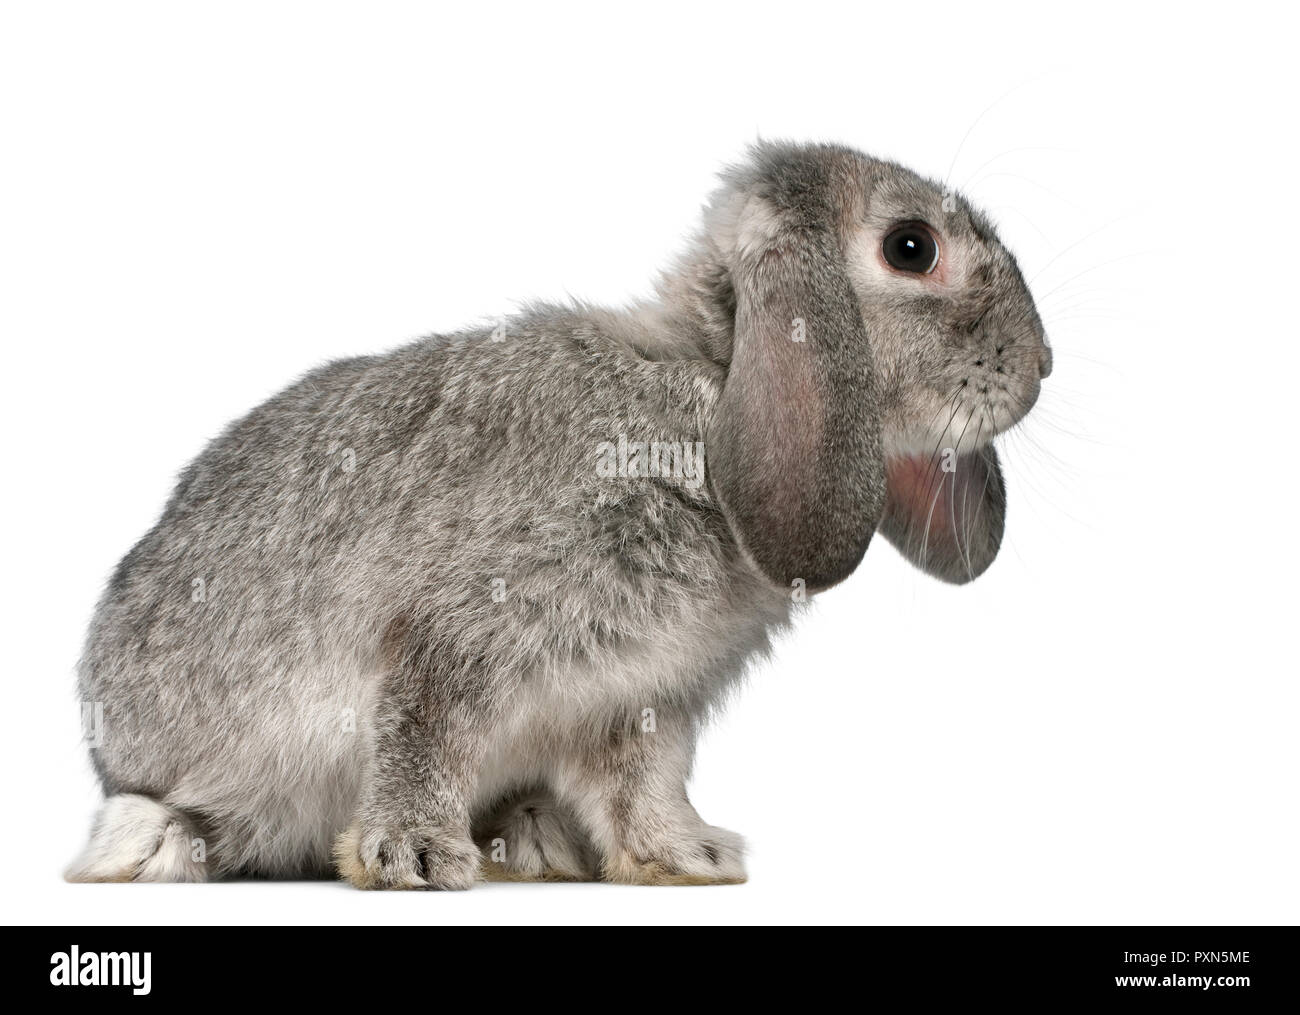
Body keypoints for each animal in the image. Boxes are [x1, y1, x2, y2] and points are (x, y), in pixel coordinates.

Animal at [66, 140, 1051, 888]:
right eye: (912, 247)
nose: (1042, 364)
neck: (704, 399)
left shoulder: (638, 700)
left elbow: (642, 785)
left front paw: (688, 857)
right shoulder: (470, 625)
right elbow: (423, 725)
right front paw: (414, 856)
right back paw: (151, 843)